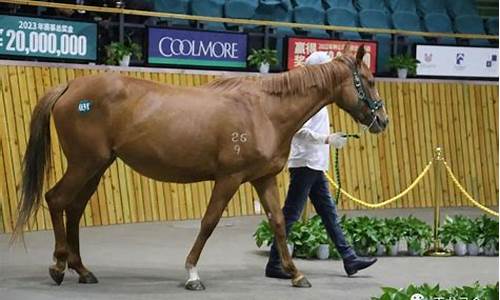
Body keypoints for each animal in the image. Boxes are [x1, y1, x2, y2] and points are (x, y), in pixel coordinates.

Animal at [10, 45, 386, 290]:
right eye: (368, 80)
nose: (382, 120)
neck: (264, 111)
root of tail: (70, 86)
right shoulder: (229, 178)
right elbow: (208, 223)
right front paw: (192, 274)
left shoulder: (263, 178)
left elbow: (279, 223)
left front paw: (295, 274)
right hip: (85, 163)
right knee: (57, 200)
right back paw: (59, 266)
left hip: (97, 166)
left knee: (73, 208)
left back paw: (82, 270)